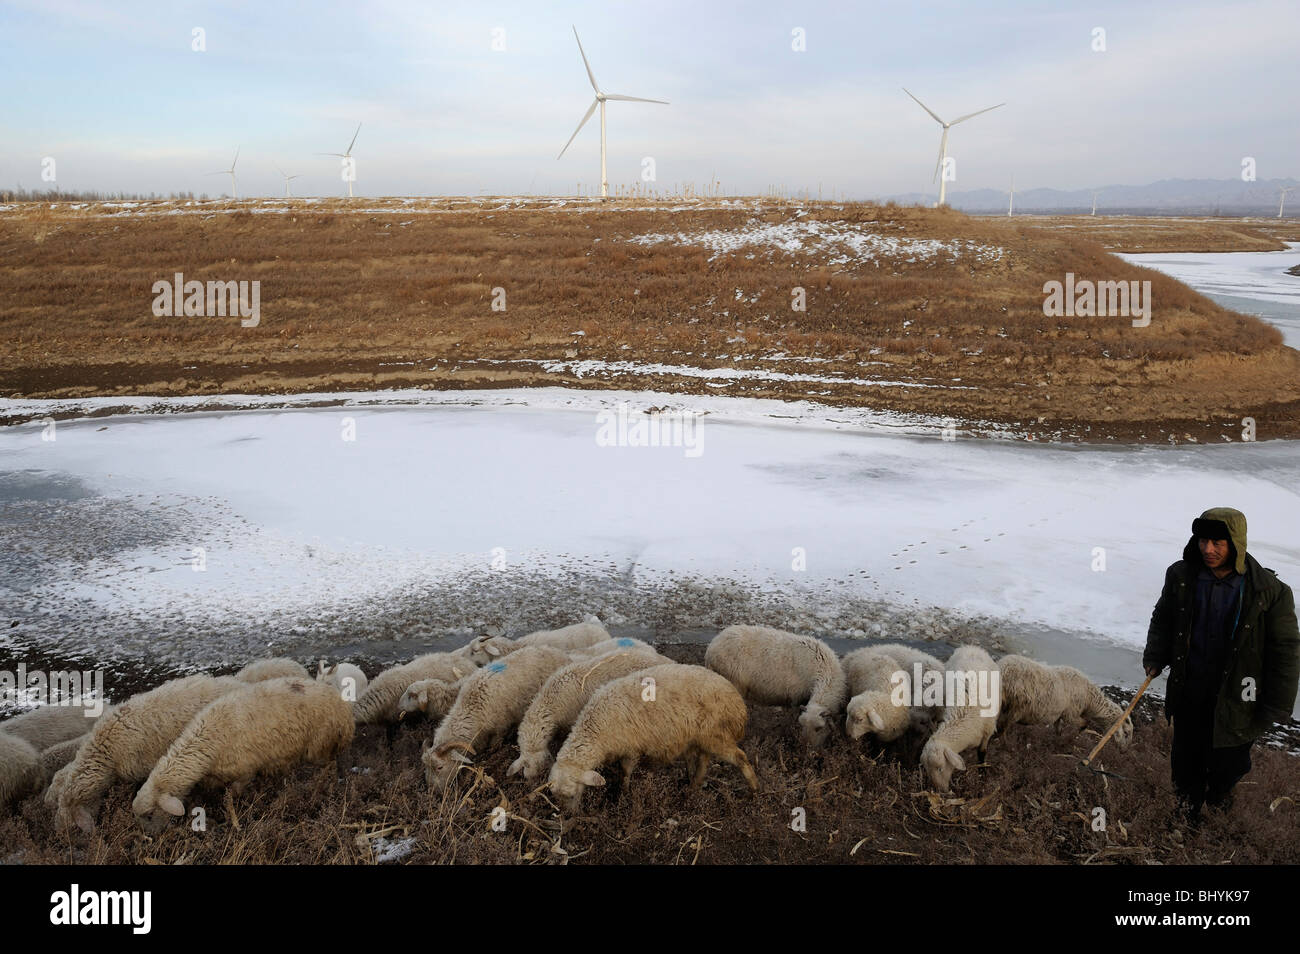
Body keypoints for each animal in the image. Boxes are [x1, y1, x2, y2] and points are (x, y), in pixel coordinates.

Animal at [132, 677, 353, 830]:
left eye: (150, 814)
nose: (149, 834)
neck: (207, 739)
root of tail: (346, 713)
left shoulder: (245, 770)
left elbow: (235, 791)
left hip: (321, 744)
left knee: (328, 765)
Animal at [422, 646, 571, 791]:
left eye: (440, 767)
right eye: (426, 767)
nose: (433, 791)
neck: (471, 707)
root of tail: (557, 651)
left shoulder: (501, 725)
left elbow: (496, 741)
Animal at [547, 663, 759, 813]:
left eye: (572, 796)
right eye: (556, 797)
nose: (568, 815)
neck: (597, 729)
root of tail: (738, 703)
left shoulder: (631, 749)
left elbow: (625, 772)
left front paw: (624, 793)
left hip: (716, 734)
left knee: (740, 757)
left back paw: (753, 790)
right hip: (700, 736)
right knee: (702, 760)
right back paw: (692, 785)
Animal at [704, 624, 847, 746]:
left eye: (819, 728)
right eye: (803, 726)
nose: (806, 747)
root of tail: (711, 647)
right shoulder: (796, 697)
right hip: (733, 681)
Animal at [919, 645, 1001, 793]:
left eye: (940, 768)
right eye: (927, 770)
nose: (940, 791)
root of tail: (971, 647)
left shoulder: (987, 731)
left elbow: (982, 752)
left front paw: (982, 772)